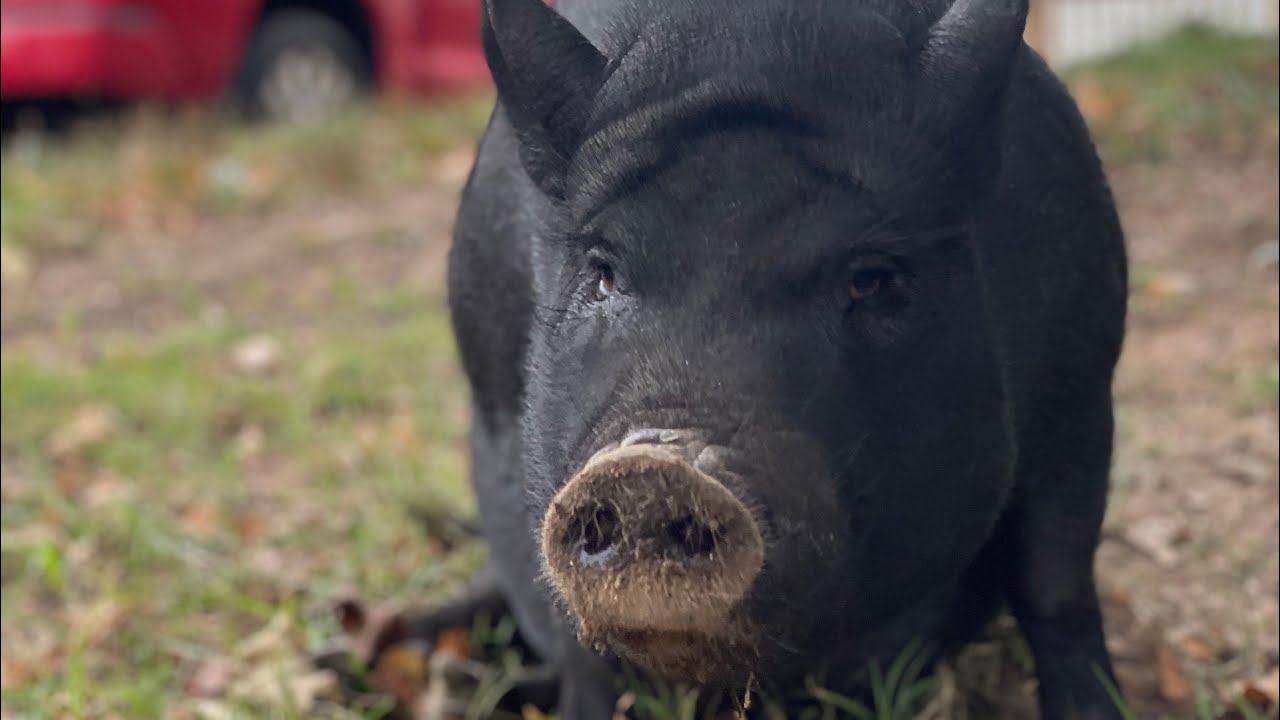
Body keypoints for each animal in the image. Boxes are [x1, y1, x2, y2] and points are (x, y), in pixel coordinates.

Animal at [418, 0, 1131, 717]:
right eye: (604, 272)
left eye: (869, 279)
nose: (654, 471)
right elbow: (580, 658)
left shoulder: (1083, 389)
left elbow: (1057, 588)